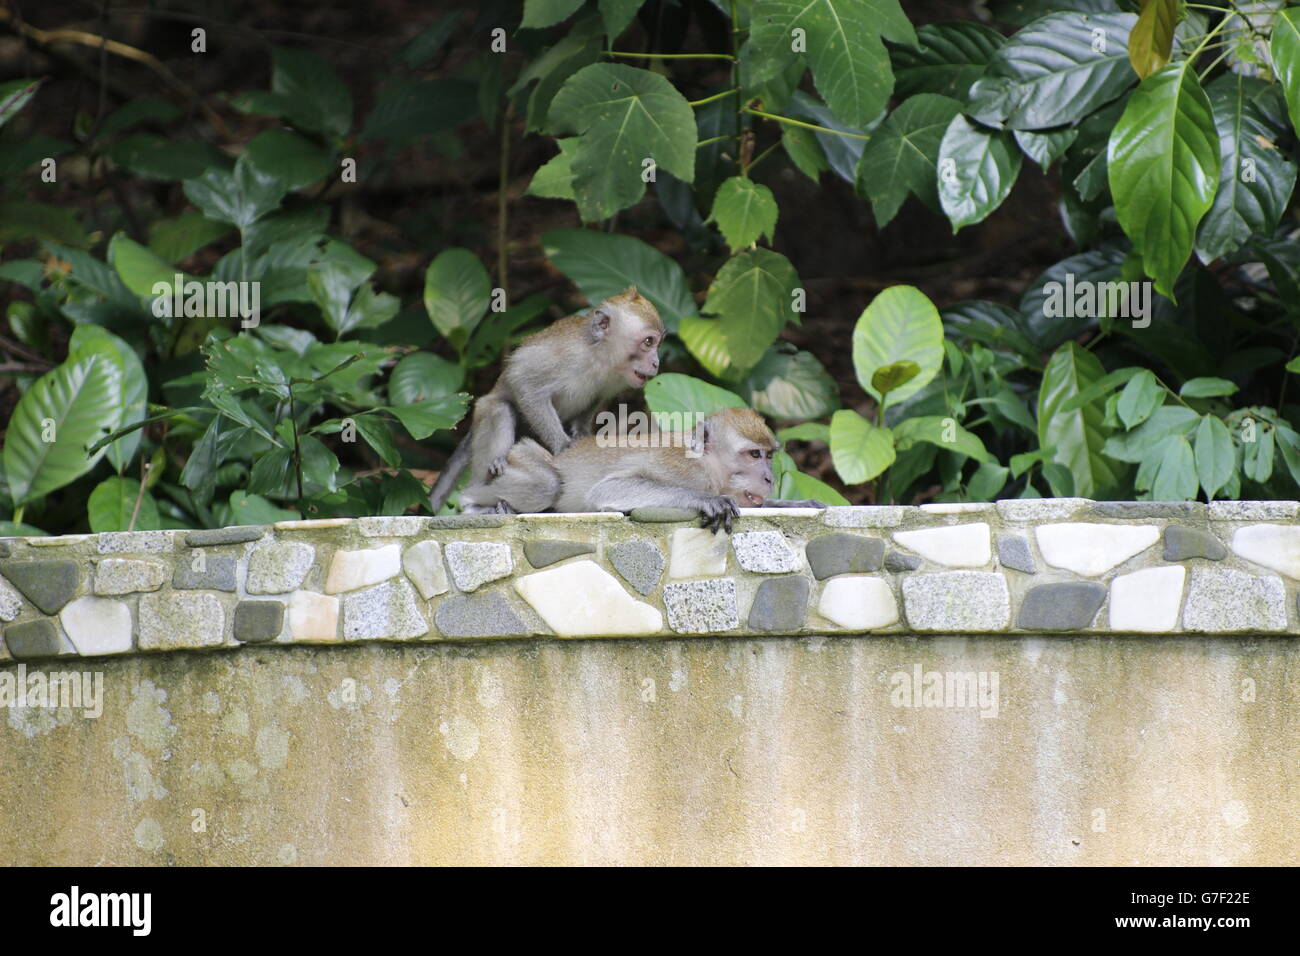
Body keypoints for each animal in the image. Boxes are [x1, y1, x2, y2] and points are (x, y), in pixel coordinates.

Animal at [427, 287, 664, 513]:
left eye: (657, 344)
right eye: (648, 342)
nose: (656, 363)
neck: (598, 356)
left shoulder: (614, 378)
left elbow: (595, 401)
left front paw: (581, 434)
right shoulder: (565, 354)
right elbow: (525, 382)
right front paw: (563, 446)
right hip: (485, 412)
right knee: (500, 410)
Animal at [463, 406, 823, 533]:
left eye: (769, 455)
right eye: (753, 454)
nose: (769, 477)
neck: (707, 465)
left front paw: (796, 503)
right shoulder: (681, 469)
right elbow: (607, 489)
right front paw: (706, 500)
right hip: (519, 459)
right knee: (548, 484)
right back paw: (478, 506)